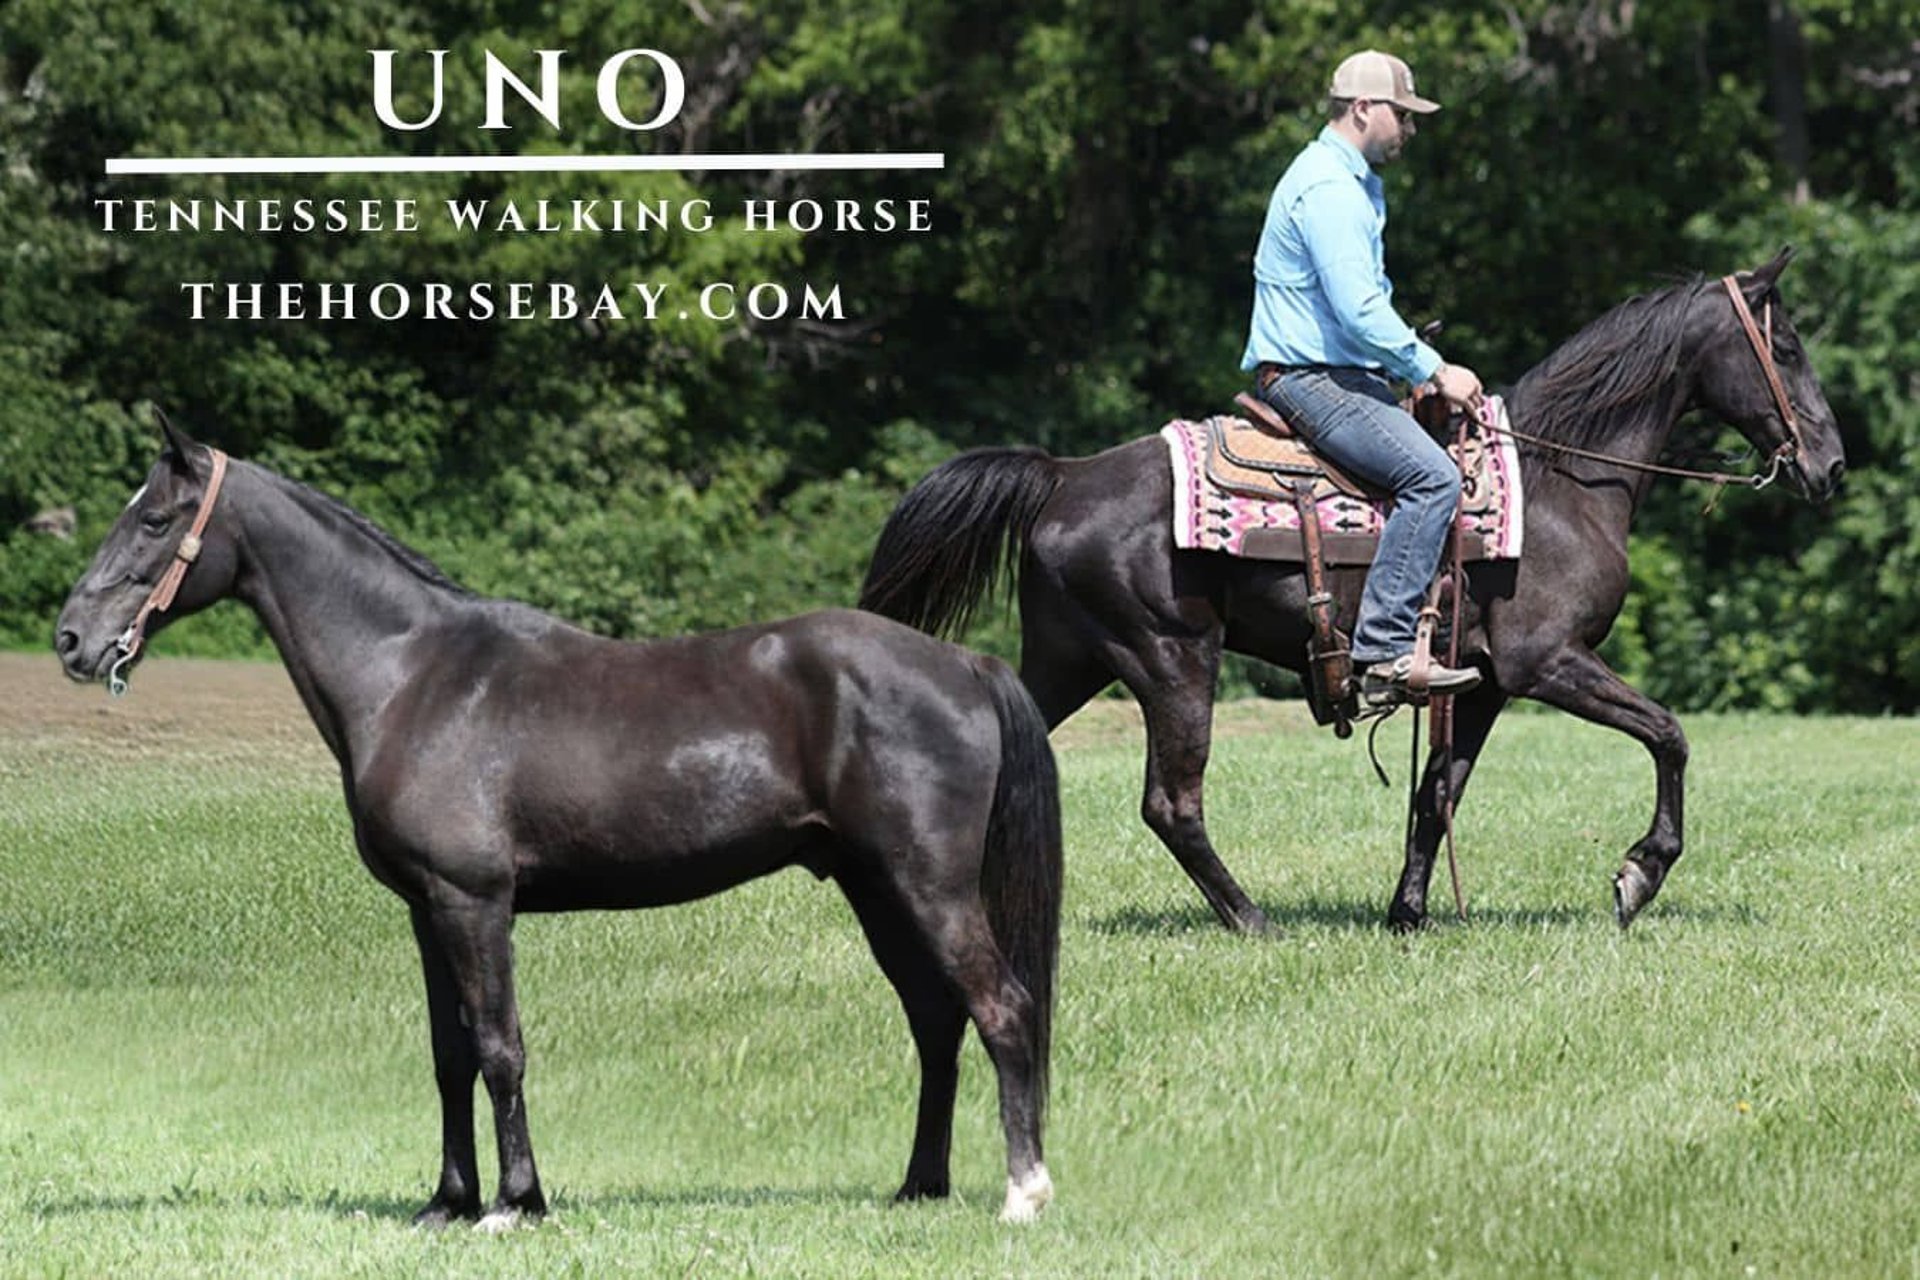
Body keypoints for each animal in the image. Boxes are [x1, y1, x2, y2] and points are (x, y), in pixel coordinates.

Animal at [54, 414, 1063, 1227]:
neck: (414, 675)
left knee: (1003, 1010)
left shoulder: (474, 902)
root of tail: (967, 664)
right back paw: (919, 1189)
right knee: (936, 1021)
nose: (72, 640)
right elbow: (450, 1055)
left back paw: (1023, 1195)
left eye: (154, 520)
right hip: (875, 888)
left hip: (928, 888)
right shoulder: (427, 912)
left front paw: (515, 1204)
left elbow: (501, 1048)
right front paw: (447, 1203)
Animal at [860, 249, 1846, 935]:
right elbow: (1669, 735)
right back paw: (1252, 919)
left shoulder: (1481, 685)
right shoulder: (1548, 662)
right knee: (1171, 804)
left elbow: (1435, 796)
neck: (1563, 481)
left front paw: (1407, 914)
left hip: (1069, 659)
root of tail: (1061, 476)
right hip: (1171, 661)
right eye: (1786, 345)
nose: (1832, 465)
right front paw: (1639, 875)